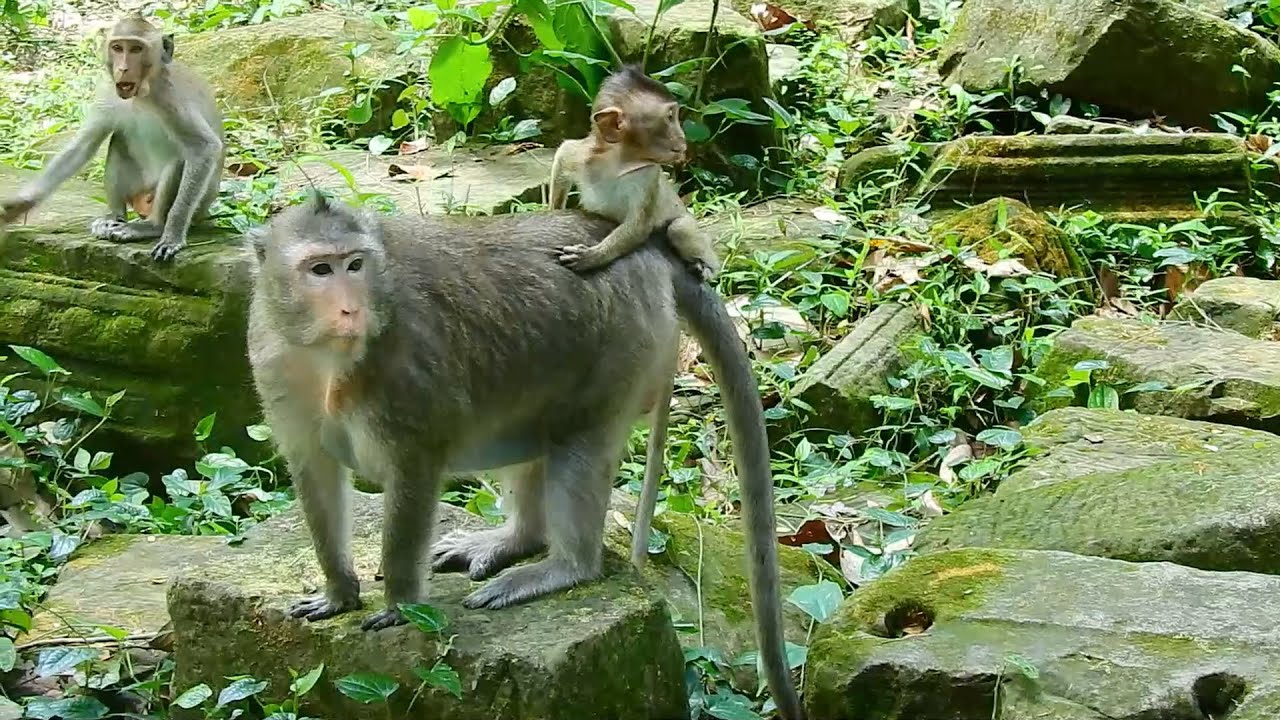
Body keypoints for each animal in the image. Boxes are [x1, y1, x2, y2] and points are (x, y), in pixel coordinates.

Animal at [0, 16, 224, 262]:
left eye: (136, 49)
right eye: (117, 48)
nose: (123, 68)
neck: (140, 95)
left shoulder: (170, 97)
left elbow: (204, 148)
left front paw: (172, 235)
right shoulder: (107, 92)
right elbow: (83, 146)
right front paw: (19, 205)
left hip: (196, 202)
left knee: (180, 159)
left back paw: (153, 226)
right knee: (119, 141)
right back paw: (114, 217)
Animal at [245, 195, 804, 720]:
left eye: (355, 265)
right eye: (321, 270)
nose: (350, 310)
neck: (327, 358)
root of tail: (641, 246)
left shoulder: (406, 378)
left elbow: (413, 473)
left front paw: (400, 604)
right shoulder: (272, 358)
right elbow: (314, 472)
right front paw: (338, 591)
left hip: (623, 334)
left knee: (576, 440)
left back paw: (566, 568)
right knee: (536, 433)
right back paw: (519, 539)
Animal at [549, 65, 721, 282]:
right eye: (669, 117)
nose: (682, 137)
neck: (618, 159)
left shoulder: (647, 175)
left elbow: (639, 226)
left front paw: (593, 256)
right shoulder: (581, 154)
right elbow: (562, 157)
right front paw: (553, 210)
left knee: (679, 228)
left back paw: (707, 267)